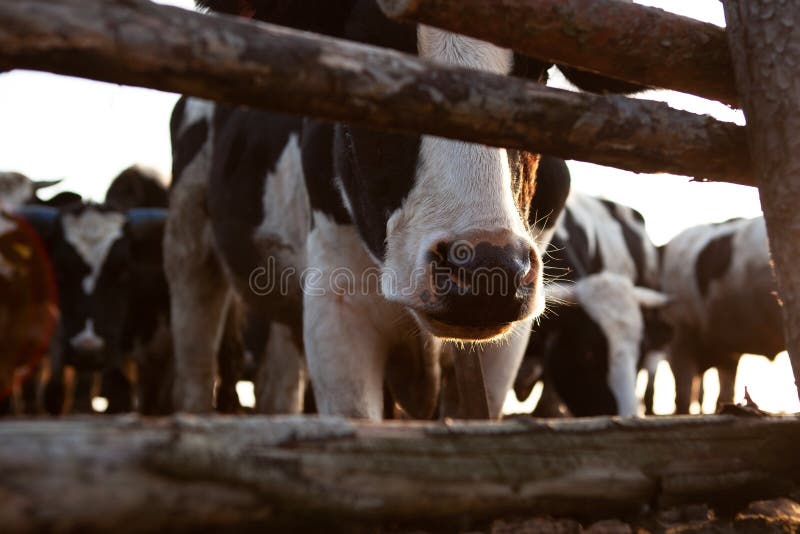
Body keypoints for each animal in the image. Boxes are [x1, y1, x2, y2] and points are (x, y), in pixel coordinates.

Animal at [169, 0, 645, 419]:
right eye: (373, 59)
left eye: (536, 72)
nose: (487, 268)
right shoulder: (338, 311)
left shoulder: (506, 346)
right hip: (189, 241)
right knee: (195, 365)